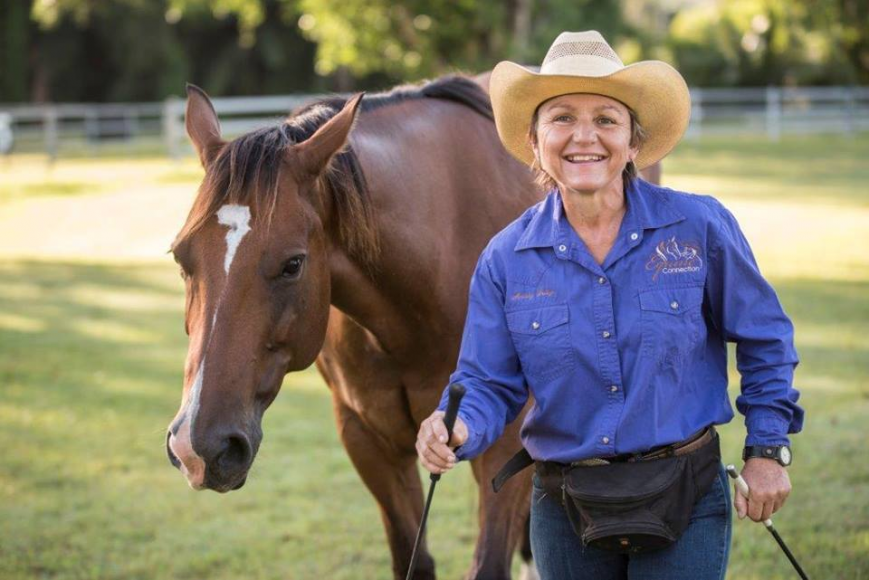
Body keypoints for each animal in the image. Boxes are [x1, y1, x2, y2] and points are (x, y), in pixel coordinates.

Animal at [165, 74, 660, 579]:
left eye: (293, 264)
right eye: (181, 257)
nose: (198, 446)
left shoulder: (502, 445)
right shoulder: (369, 440)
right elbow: (413, 559)